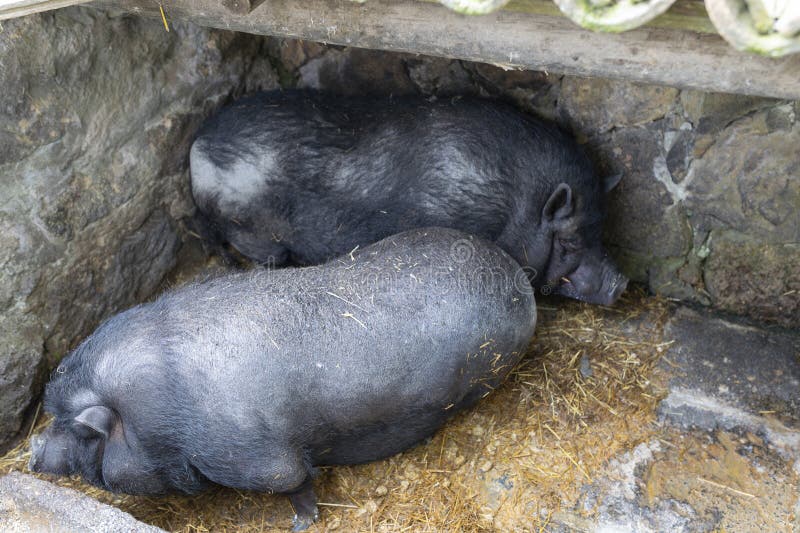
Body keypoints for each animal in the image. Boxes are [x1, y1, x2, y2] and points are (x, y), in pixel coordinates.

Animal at [29, 227, 536, 530]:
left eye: (77, 430)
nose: (33, 451)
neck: (156, 414)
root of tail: (520, 281)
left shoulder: (259, 458)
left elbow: (292, 481)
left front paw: (301, 523)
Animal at [190, 90, 627, 305]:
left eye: (601, 230)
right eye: (570, 241)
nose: (622, 282)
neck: (513, 205)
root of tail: (197, 149)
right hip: (253, 232)